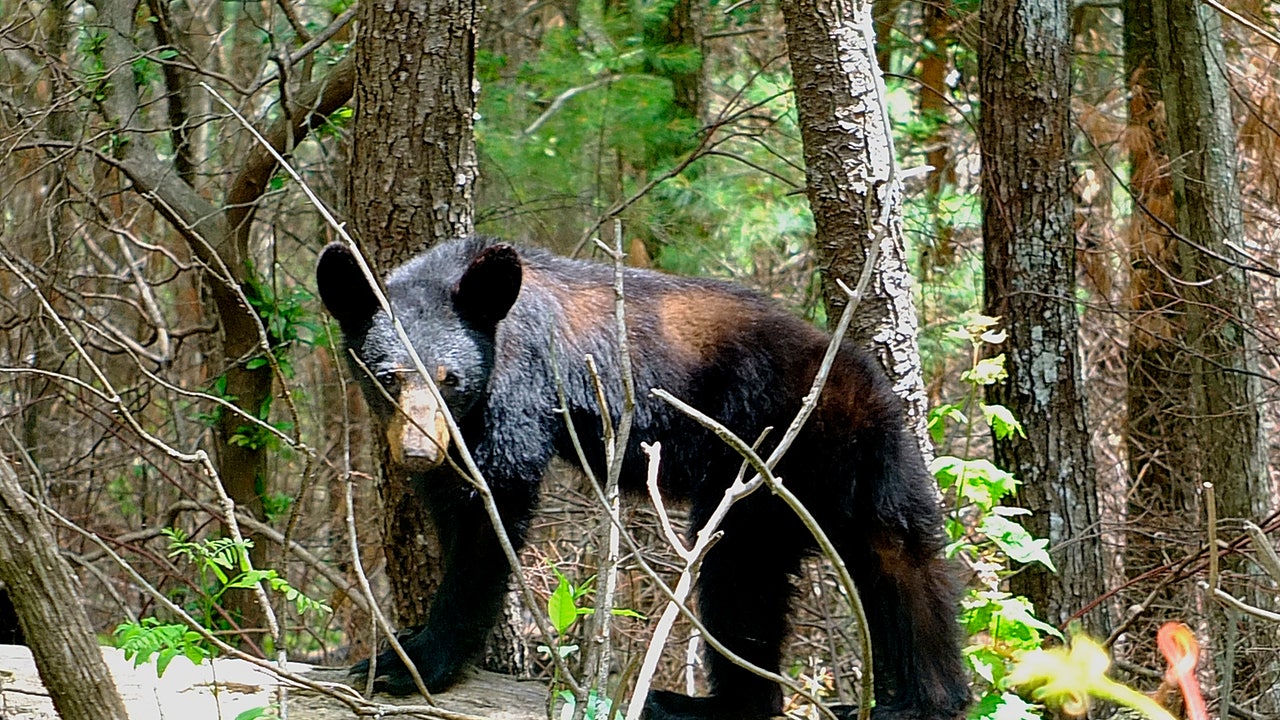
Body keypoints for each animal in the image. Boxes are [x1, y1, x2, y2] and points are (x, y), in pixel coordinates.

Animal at [316, 237, 968, 720]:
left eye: (450, 378)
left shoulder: (519, 380)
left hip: (768, 461)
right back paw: (927, 700)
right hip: (878, 475)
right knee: (905, 566)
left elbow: (493, 504)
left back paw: (701, 703)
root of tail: (862, 401)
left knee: (740, 571)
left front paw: (415, 660)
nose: (417, 451)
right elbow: (455, 502)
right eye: (387, 377)